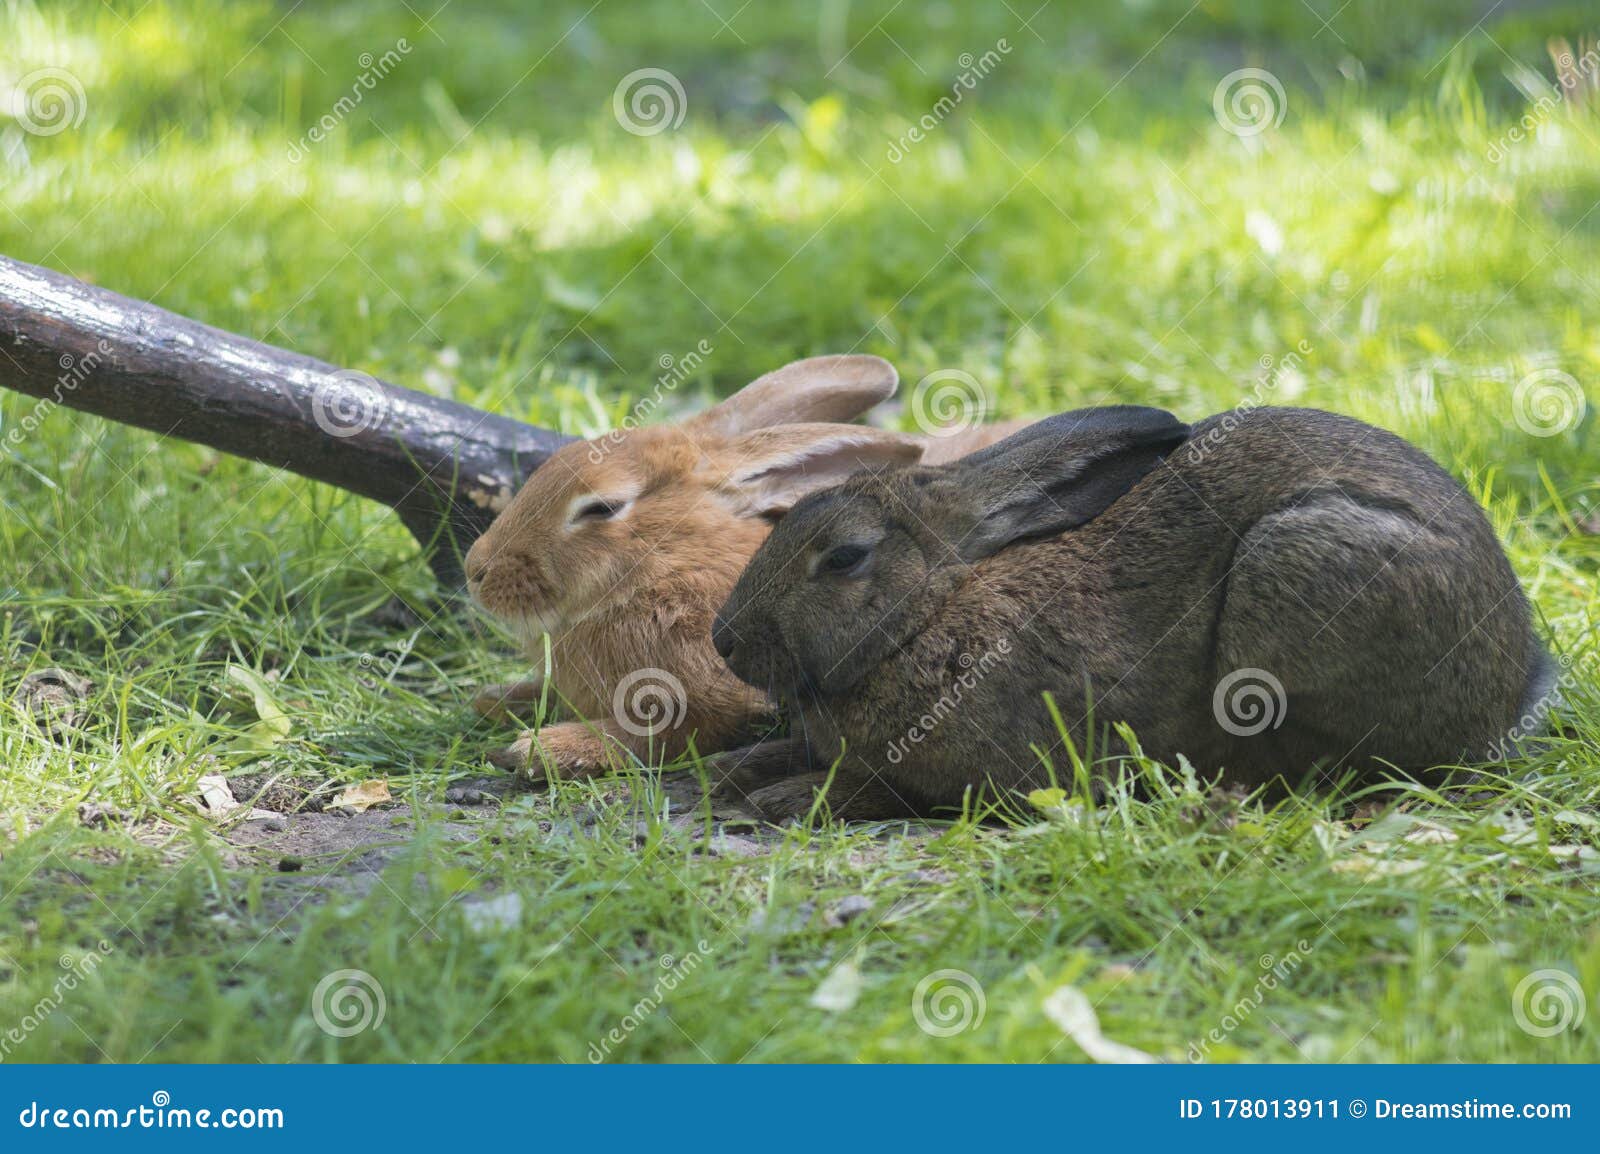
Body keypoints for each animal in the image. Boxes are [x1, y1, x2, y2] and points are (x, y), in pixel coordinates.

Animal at [464, 354, 1028, 780]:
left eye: (602, 508)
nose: (476, 571)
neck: (673, 568)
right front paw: (497, 698)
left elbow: (659, 736)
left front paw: (544, 748)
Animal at [709, 405, 1556, 821]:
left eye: (844, 558)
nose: (724, 642)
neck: (932, 613)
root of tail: (1513, 682)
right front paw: (736, 771)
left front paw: (786, 799)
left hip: (1298, 574)